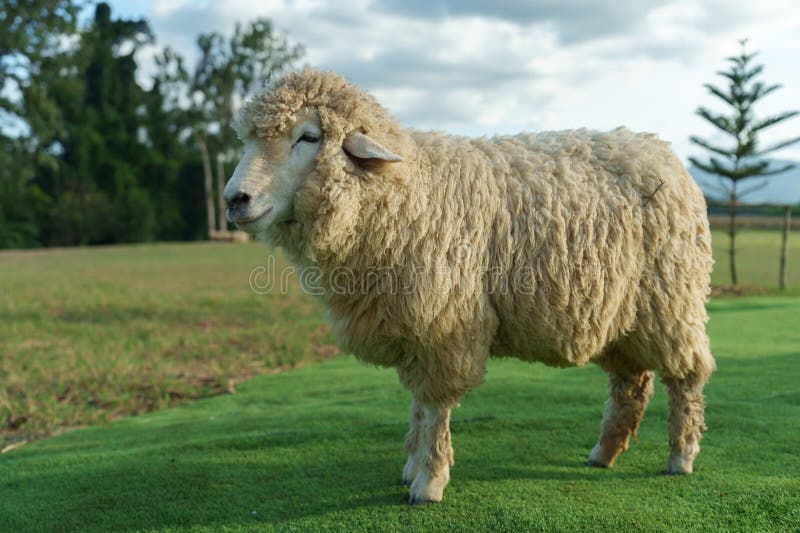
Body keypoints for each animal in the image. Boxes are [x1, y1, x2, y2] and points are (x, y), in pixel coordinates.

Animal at [223, 69, 715, 505]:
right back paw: (604, 453)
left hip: (672, 301)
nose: (233, 199)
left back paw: (682, 455)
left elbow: (435, 405)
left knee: (687, 376)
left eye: (307, 137)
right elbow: (417, 405)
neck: (406, 189)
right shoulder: (413, 325)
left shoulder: (444, 324)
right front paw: (411, 464)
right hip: (622, 316)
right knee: (631, 383)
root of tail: (662, 151)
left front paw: (429, 482)